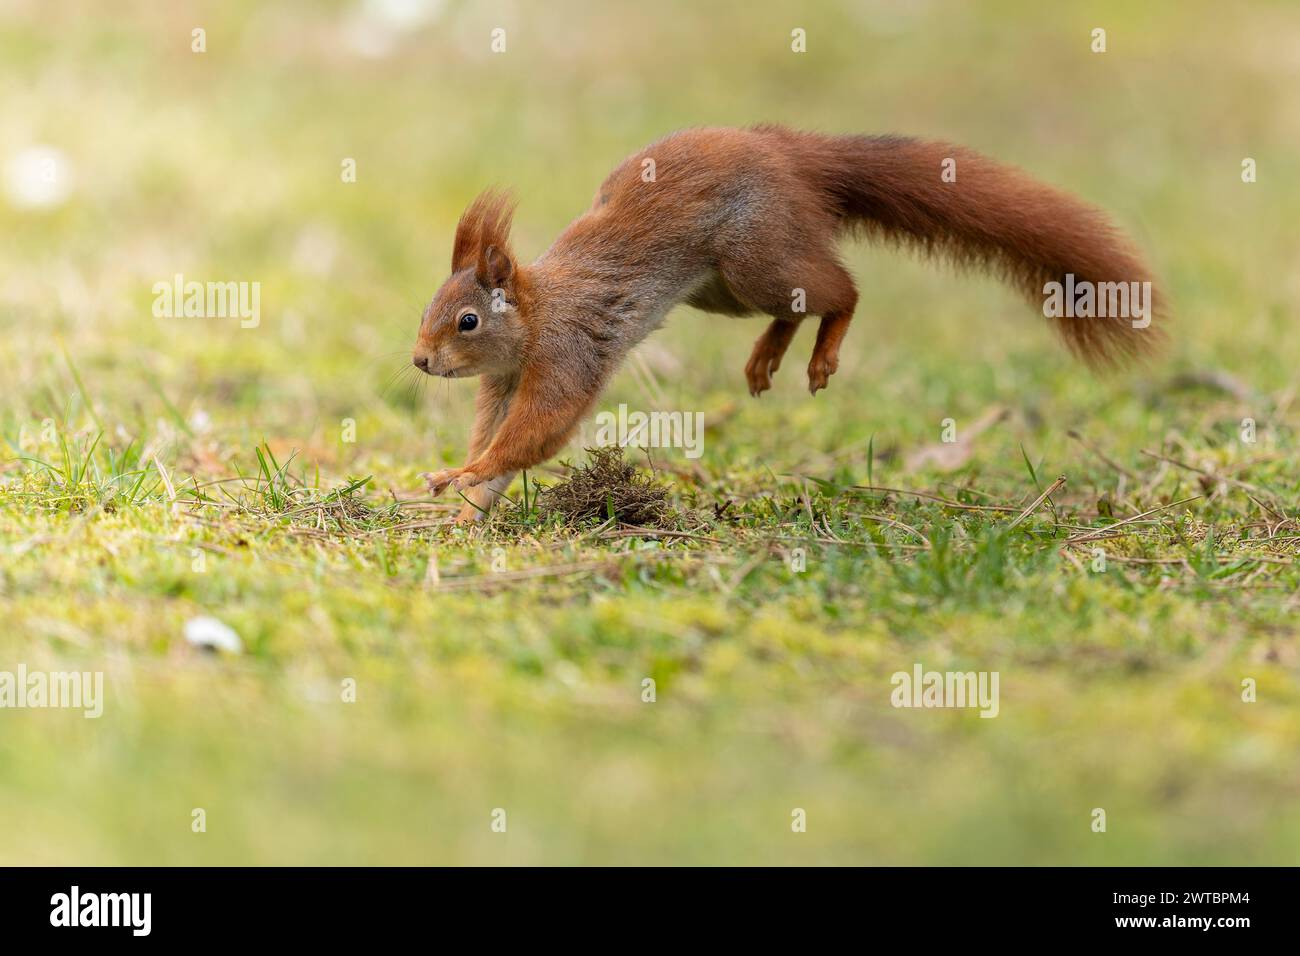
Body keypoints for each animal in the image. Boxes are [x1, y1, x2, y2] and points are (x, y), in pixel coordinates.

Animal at [412, 125, 1161, 522]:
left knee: (840, 290)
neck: (535, 316)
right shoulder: (505, 382)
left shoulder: (567, 354)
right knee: (792, 307)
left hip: (751, 257)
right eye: (429, 311)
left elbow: (537, 433)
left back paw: (823, 352)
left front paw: (458, 475)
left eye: (468, 321)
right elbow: (505, 442)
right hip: (724, 289)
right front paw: (468, 509)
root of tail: (790, 151)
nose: (420, 361)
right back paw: (767, 354)